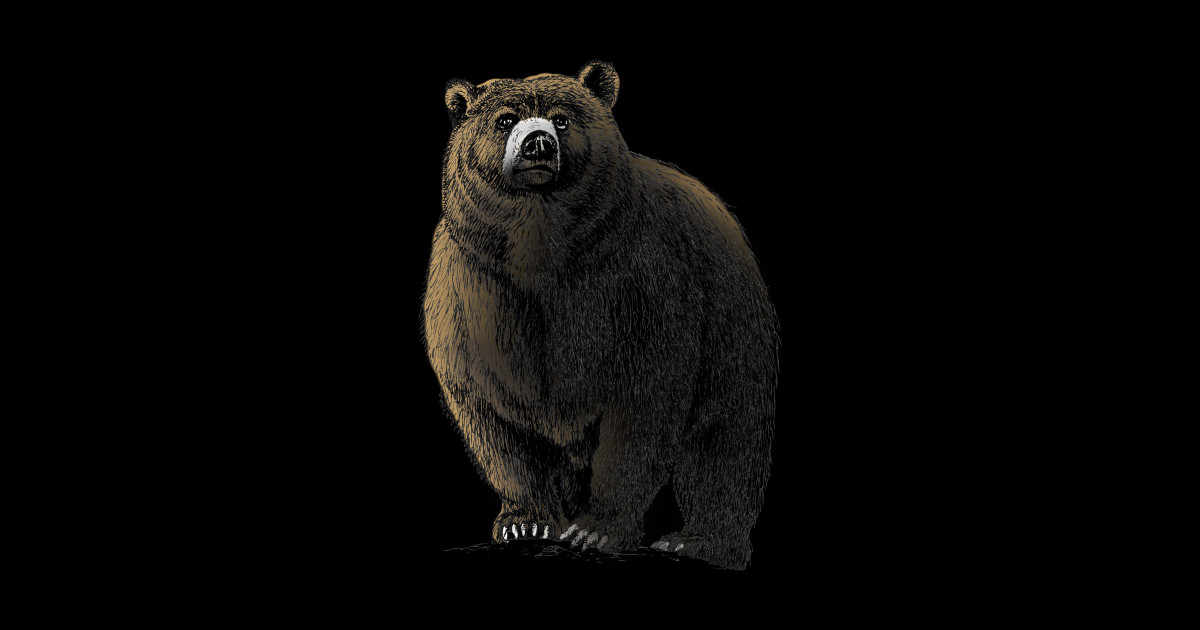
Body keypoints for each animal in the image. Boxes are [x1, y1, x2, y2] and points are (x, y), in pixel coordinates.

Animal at [422, 61, 778, 570]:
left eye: (562, 118)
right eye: (505, 119)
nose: (538, 143)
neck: (540, 246)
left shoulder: (636, 274)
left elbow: (644, 399)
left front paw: (596, 529)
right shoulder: (472, 289)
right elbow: (492, 413)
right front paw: (524, 521)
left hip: (732, 329)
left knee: (726, 440)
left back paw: (699, 541)